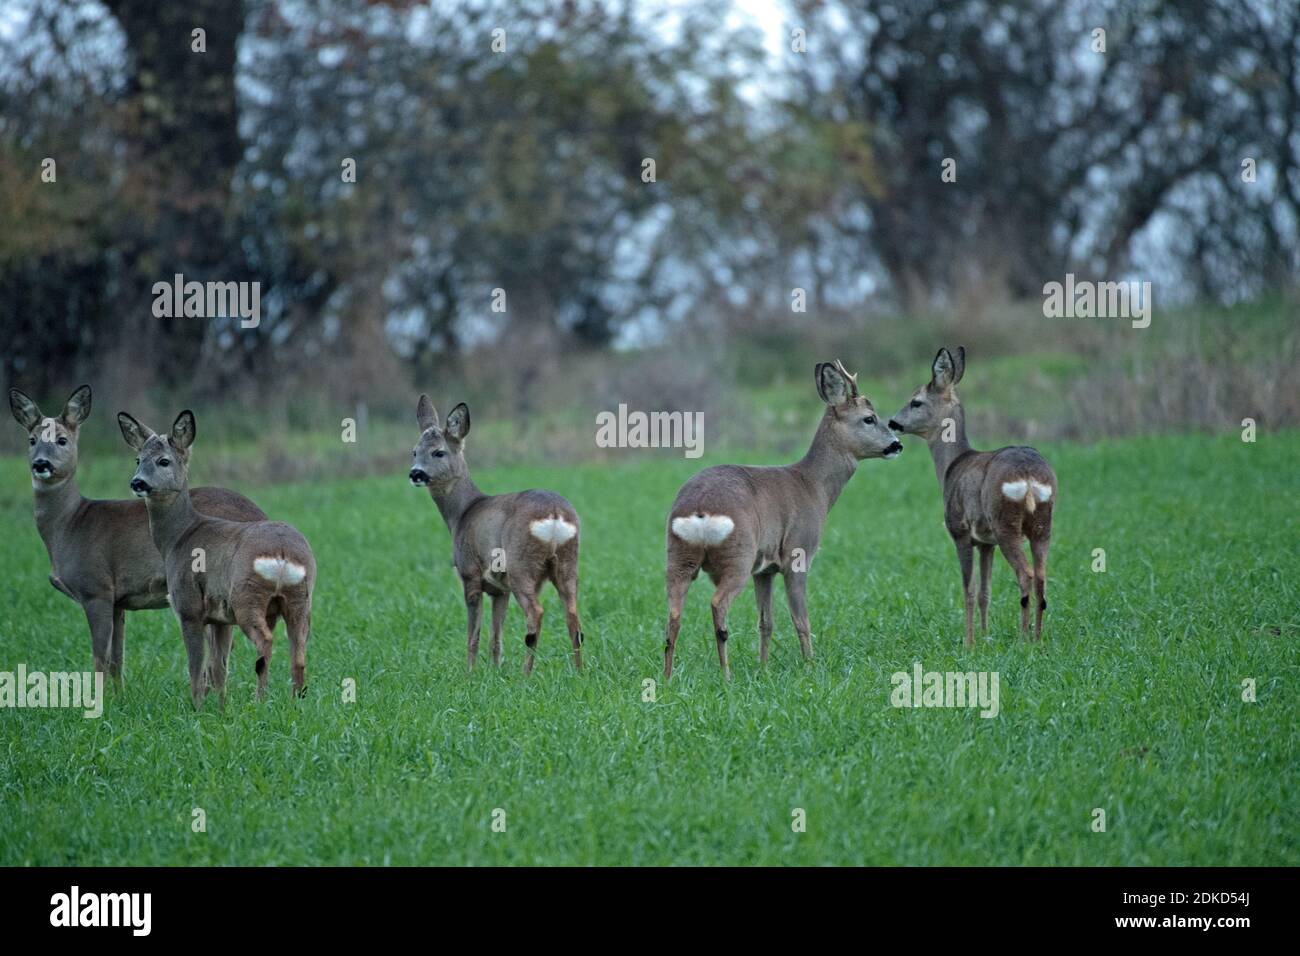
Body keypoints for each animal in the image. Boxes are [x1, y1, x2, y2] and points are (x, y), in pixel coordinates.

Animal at [8, 385, 265, 685]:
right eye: (31, 439)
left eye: (62, 440)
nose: (41, 464)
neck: (70, 524)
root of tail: (261, 515)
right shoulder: (118, 601)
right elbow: (116, 659)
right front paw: (118, 694)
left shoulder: (96, 588)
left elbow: (100, 658)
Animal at [117, 409, 316, 708]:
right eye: (138, 460)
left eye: (164, 461)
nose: (137, 482)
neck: (178, 537)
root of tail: (282, 552)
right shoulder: (220, 618)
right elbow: (219, 666)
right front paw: (222, 708)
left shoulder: (189, 607)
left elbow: (197, 665)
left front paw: (197, 707)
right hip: (300, 599)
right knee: (299, 654)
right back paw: (295, 703)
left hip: (247, 597)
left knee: (266, 643)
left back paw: (259, 702)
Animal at [408, 395, 584, 675]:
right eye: (414, 451)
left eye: (439, 452)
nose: (416, 473)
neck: (462, 513)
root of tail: (555, 515)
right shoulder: (500, 590)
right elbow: (495, 637)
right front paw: (495, 671)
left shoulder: (469, 574)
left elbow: (474, 635)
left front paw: (469, 673)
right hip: (568, 563)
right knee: (574, 618)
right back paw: (579, 672)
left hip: (520, 564)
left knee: (536, 613)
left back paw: (526, 675)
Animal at [663, 360, 902, 680]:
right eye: (869, 418)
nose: (896, 445)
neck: (814, 486)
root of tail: (700, 509)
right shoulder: (797, 554)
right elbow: (801, 619)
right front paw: (811, 666)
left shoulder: (764, 570)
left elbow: (766, 621)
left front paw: (763, 668)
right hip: (738, 556)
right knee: (717, 605)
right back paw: (726, 675)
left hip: (679, 556)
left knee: (673, 616)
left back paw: (667, 677)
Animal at [887, 347, 1057, 646]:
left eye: (916, 401)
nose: (892, 422)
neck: (952, 465)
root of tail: (1028, 477)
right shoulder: (986, 543)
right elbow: (984, 593)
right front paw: (986, 637)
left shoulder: (961, 532)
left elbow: (967, 590)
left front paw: (969, 643)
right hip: (1042, 524)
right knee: (1041, 577)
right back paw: (1037, 638)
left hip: (1005, 524)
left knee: (1025, 575)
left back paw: (1024, 638)